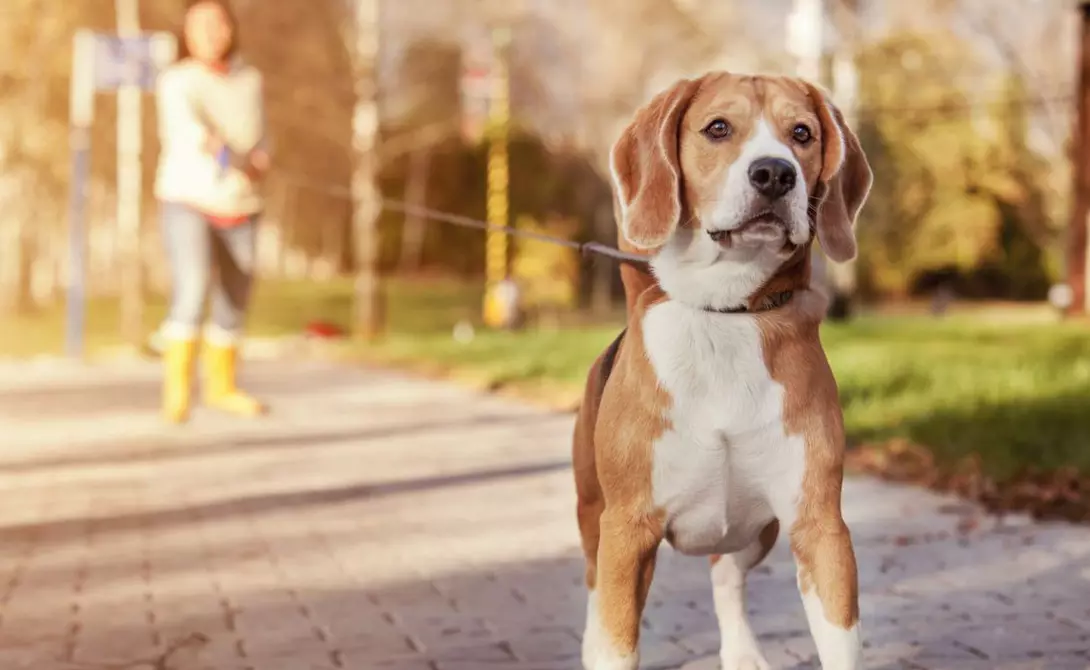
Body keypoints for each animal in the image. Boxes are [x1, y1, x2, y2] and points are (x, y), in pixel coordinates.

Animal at [575, 69, 872, 670]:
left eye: (802, 134)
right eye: (717, 128)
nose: (775, 173)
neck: (725, 312)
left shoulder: (820, 527)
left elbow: (839, 642)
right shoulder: (628, 530)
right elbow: (618, 641)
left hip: (754, 530)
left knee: (725, 578)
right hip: (594, 515)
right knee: (597, 590)